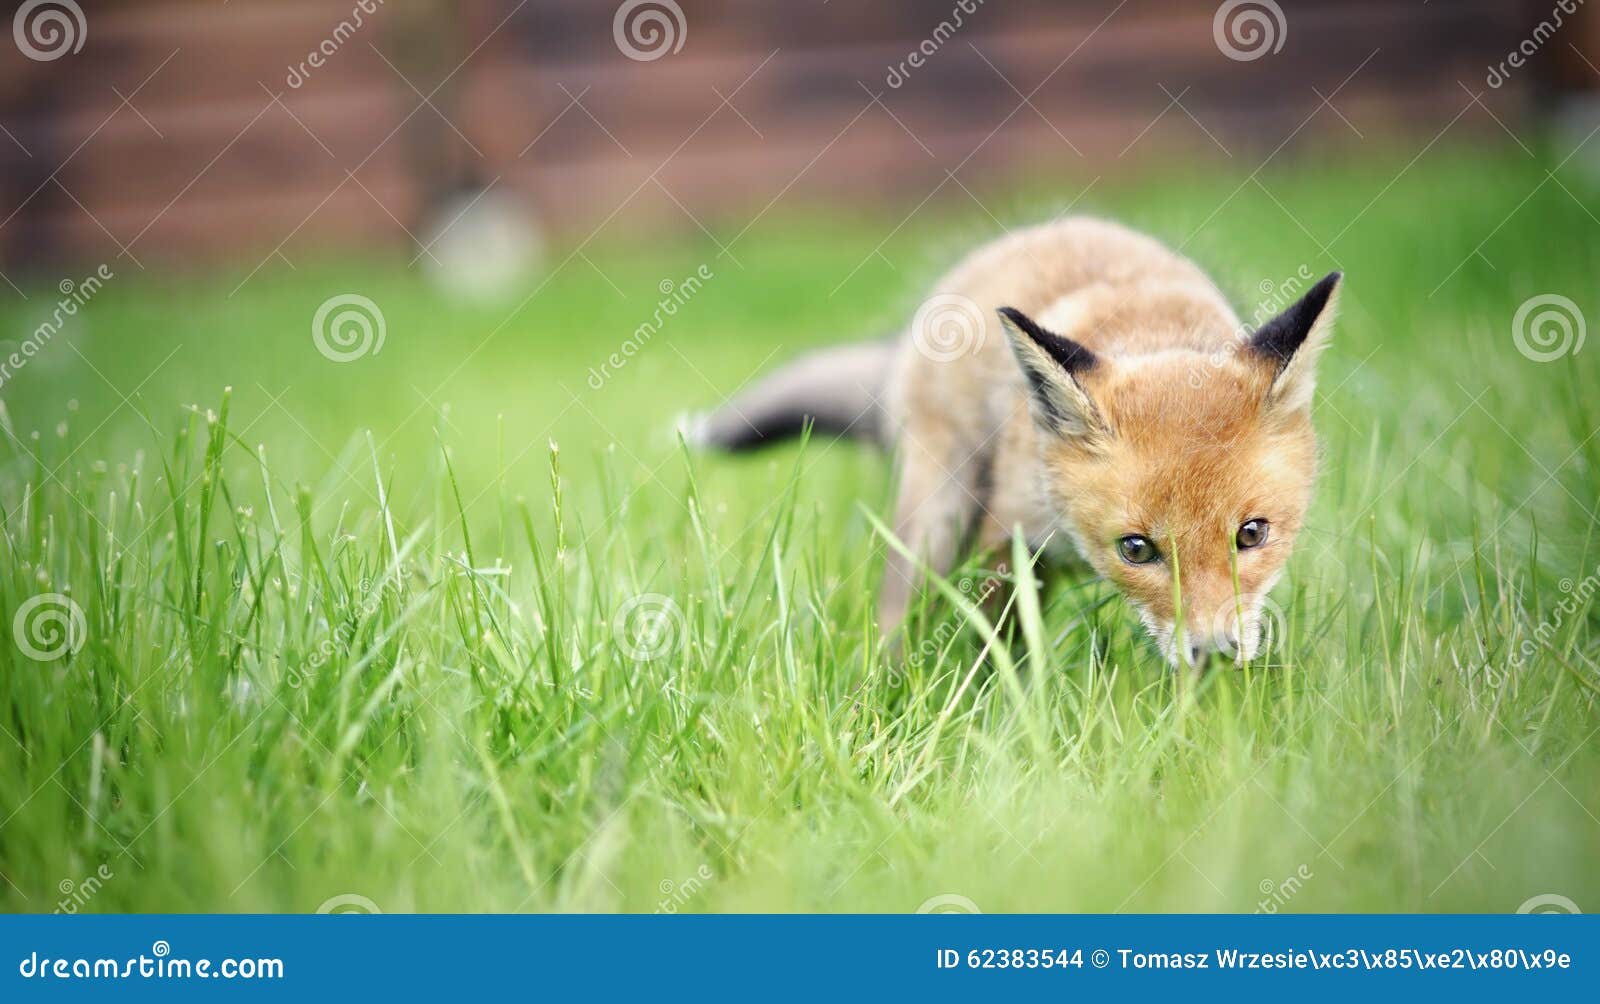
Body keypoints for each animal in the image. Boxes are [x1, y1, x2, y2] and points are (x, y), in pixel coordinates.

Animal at [685, 217, 1341, 667]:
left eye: (1251, 535)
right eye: (1135, 549)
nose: (1213, 654)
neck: (1148, 329)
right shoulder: (1008, 536)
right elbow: (997, 645)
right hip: (937, 517)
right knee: (898, 609)